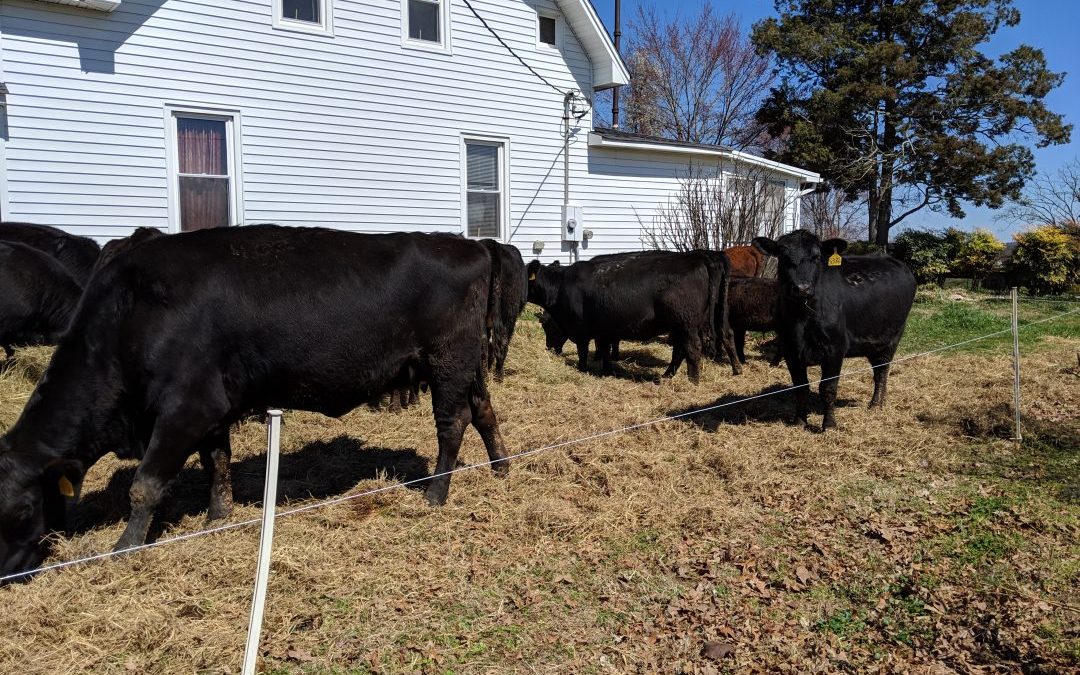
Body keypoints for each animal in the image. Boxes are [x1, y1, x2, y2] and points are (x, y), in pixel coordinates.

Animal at [0, 225, 509, 579]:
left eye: (21, 511)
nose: (8, 573)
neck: (131, 312)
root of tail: (470, 244)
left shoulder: (186, 408)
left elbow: (145, 483)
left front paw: (124, 545)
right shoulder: (211, 409)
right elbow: (217, 462)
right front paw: (217, 517)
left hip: (446, 362)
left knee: (452, 423)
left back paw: (436, 492)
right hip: (467, 367)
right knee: (483, 410)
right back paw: (501, 467)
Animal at [527, 250, 741, 382]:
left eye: (546, 324)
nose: (549, 348)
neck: (562, 285)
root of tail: (700, 257)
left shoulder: (582, 330)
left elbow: (583, 351)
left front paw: (582, 370)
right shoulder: (604, 329)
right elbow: (605, 350)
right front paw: (607, 371)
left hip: (686, 323)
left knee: (693, 348)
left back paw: (692, 381)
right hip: (690, 323)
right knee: (710, 339)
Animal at [752, 231, 916, 431]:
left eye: (816, 257)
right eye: (783, 257)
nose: (802, 288)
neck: (802, 319)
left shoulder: (834, 349)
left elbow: (828, 388)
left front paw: (829, 424)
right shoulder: (791, 350)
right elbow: (801, 388)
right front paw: (799, 421)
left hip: (891, 338)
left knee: (881, 371)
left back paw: (876, 404)